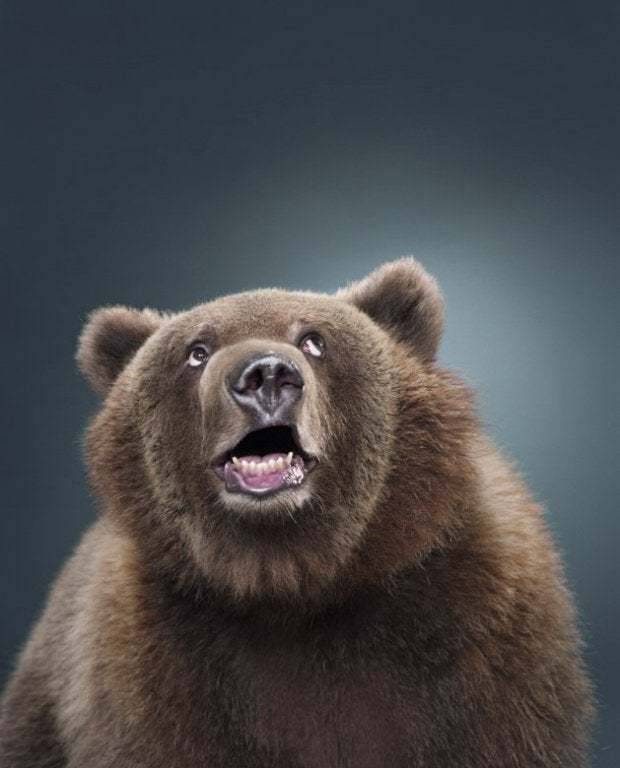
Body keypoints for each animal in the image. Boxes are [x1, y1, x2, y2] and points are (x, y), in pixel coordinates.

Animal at [0, 258, 594, 767]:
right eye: (196, 351)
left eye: (313, 340)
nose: (265, 375)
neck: (296, 579)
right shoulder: (154, 662)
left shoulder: (481, 640)